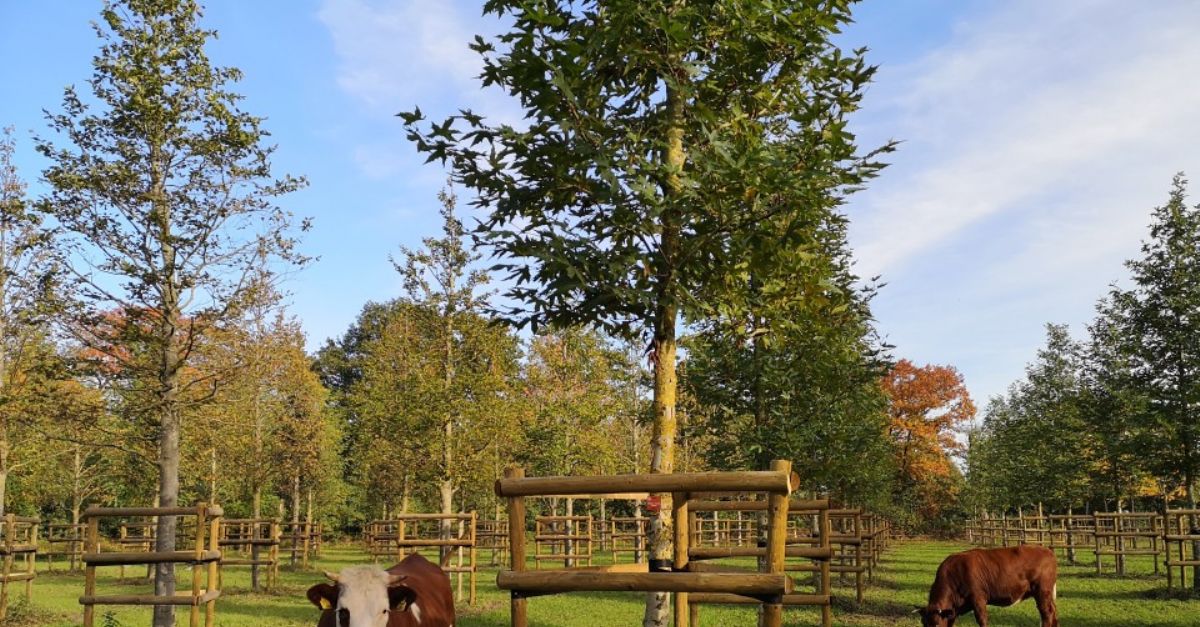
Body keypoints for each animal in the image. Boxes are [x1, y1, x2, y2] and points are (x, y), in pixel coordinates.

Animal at [916, 544, 1058, 627]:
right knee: (1053, 611)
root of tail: (1046, 550)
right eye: (924, 623)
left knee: (1046, 613)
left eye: (936, 624)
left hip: (1042, 591)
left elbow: (982, 619)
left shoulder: (978, 598)